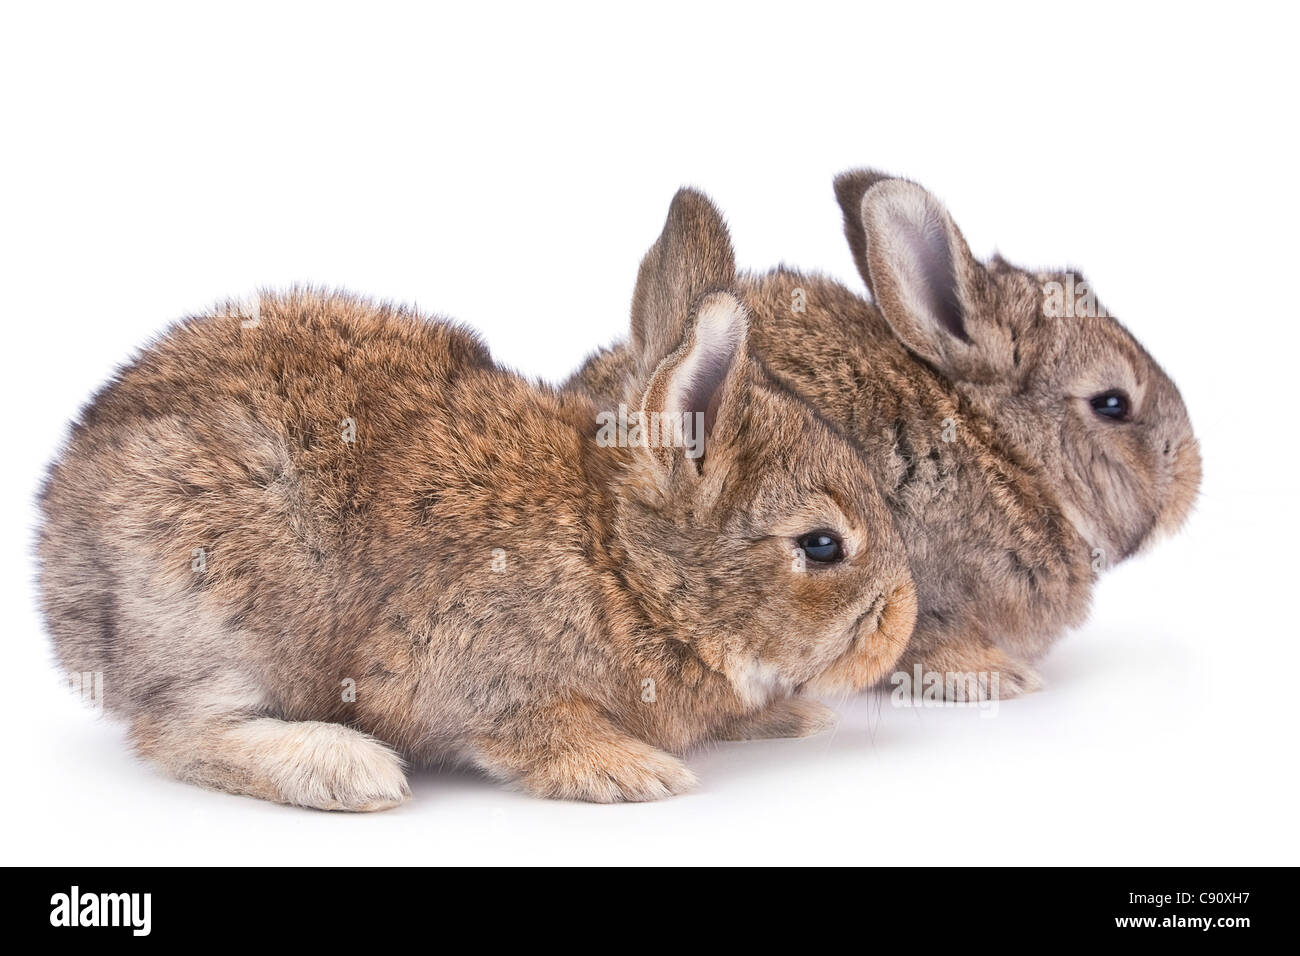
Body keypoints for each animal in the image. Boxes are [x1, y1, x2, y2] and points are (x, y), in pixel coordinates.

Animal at [36, 190, 917, 810]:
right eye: (822, 545)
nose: (902, 624)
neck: (620, 566)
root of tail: (57, 561)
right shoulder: (472, 674)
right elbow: (533, 730)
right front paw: (633, 772)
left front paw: (790, 718)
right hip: (216, 611)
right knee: (175, 730)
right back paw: (347, 771)